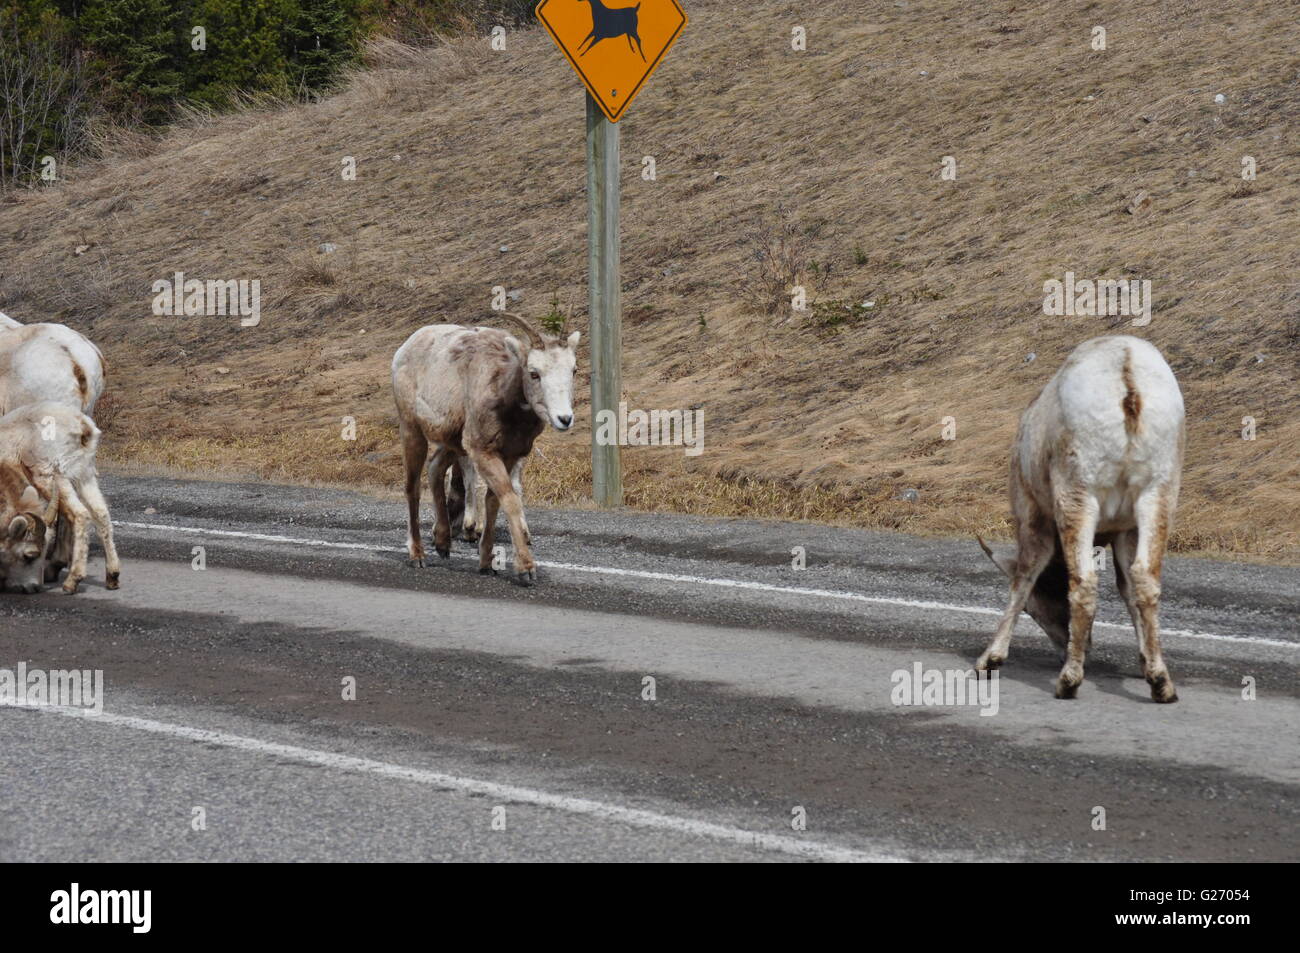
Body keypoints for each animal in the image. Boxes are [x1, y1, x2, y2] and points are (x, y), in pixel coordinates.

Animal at [0, 401, 119, 594]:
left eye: (28, 556)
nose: (34, 587)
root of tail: (83, 427)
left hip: (53, 477)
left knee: (80, 515)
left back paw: (72, 581)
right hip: (84, 476)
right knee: (101, 514)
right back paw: (112, 577)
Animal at [391, 313, 579, 585]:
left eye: (573, 370)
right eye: (534, 373)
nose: (564, 418)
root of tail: (404, 349)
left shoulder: (509, 455)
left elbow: (493, 500)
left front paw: (486, 563)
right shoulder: (483, 452)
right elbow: (509, 499)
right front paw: (526, 569)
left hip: (454, 442)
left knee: (435, 468)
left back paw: (443, 543)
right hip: (412, 430)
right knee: (412, 487)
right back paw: (418, 555)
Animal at [975, 335, 1184, 703]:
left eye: (1033, 609)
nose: (1073, 647)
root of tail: (1127, 377)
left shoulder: (1033, 515)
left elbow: (1025, 576)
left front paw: (989, 661)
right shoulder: (1125, 530)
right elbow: (1129, 588)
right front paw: (1145, 664)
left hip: (1077, 493)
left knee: (1084, 582)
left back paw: (1069, 680)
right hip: (1158, 491)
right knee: (1146, 578)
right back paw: (1162, 684)